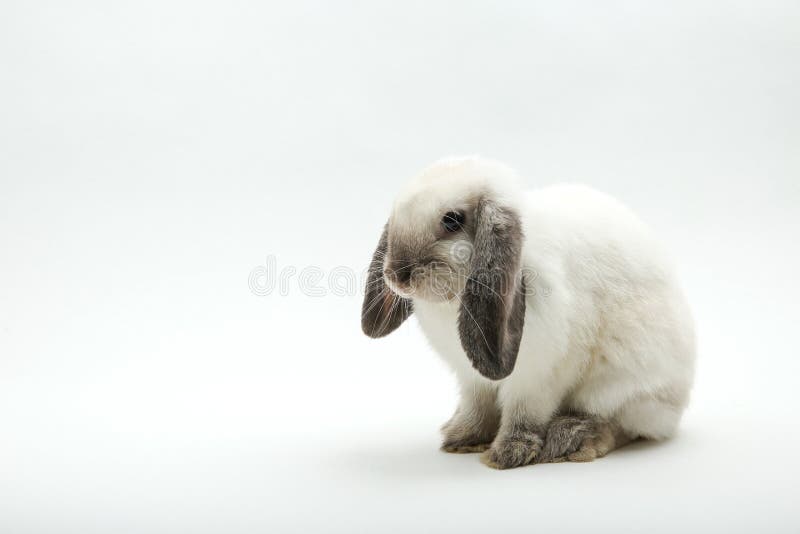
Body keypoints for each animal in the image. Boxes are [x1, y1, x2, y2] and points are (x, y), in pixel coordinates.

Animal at [361, 156, 696, 469]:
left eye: (453, 220)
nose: (397, 276)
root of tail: (678, 401)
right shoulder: (472, 379)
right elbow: (477, 407)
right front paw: (462, 438)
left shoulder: (536, 376)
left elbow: (524, 413)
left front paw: (509, 452)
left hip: (621, 383)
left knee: (622, 422)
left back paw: (573, 438)